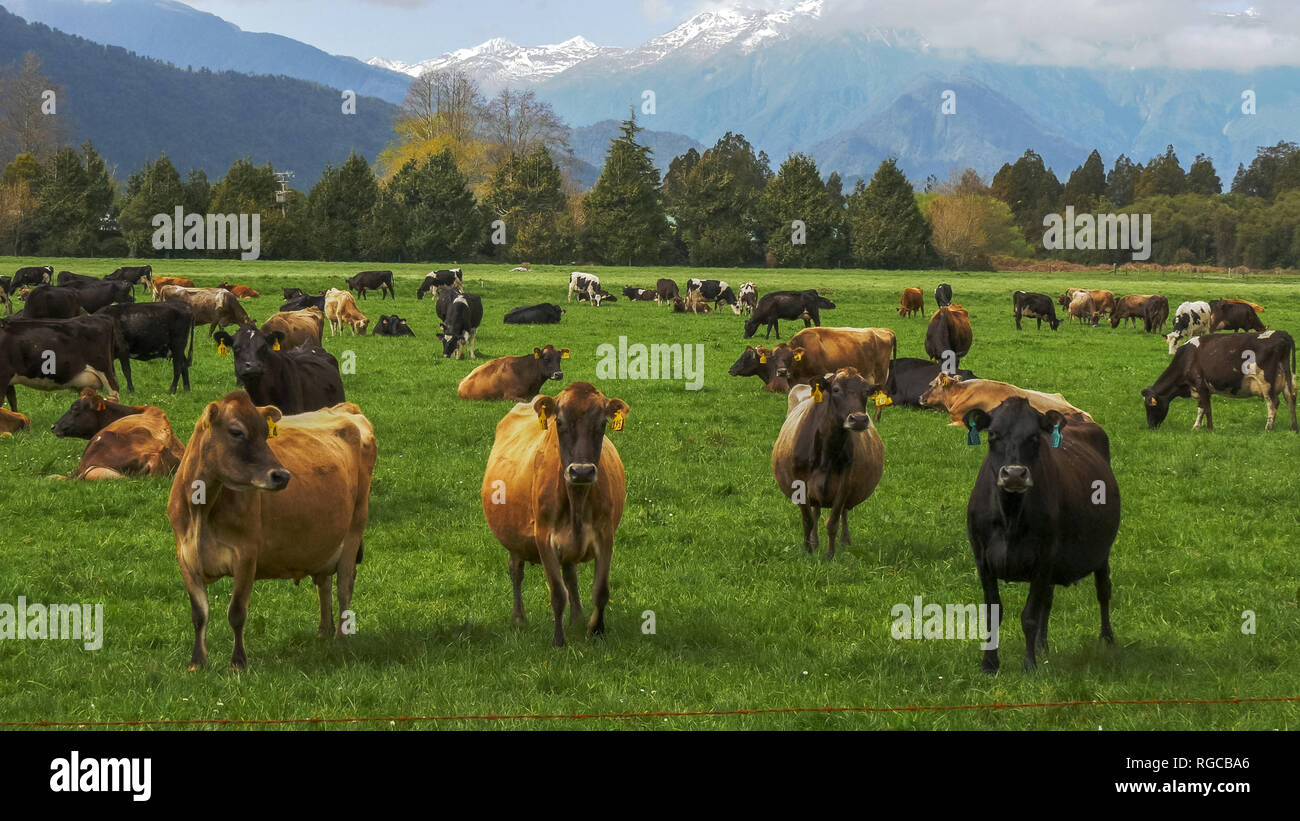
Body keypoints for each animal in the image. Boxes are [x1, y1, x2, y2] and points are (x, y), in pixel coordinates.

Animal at [169, 393, 376, 670]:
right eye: (236, 431)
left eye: (266, 433)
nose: (282, 476)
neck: (202, 509)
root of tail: (344, 408)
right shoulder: (185, 557)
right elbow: (199, 614)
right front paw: (197, 663)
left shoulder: (246, 555)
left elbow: (237, 612)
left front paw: (238, 663)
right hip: (323, 541)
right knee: (324, 583)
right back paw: (323, 631)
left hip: (354, 527)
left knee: (344, 585)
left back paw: (341, 637)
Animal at [481, 382, 628, 647]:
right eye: (559, 422)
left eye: (602, 423)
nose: (581, 471)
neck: (577, 499)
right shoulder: (543, 538)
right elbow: (558, 594)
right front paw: (559, 640)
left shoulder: (605, 536)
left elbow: (601, 590)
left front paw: (596, 630)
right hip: (514, 538)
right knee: (516, 571)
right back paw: (519, 618)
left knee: (570, 574)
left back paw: (577, 617)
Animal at [771, 368, 885, 560]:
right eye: (836, 389)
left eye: (866, 392)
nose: (859, 420)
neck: (827, 453)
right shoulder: (800, 486)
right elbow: (808, 520)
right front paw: (808, 550)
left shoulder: (844, 486)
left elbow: (833, 522)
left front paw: (829, 556)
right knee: (816, 512)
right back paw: (815, 542)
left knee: (843, 512)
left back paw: (845, 541)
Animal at [964, 397, 1121, 672]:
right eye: (992, 434)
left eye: (1035, 437)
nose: (1014, 474)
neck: (1010, 515)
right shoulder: (982, 559)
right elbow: (993, 612)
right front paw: (990, 664)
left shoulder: (1043, 558)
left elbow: (1029, 616)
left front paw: (1029, 665)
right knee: (1048, 600)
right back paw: (1042, 645)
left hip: (1102, 551)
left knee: (1103, 590)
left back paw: (1107, 639)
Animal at [1142, 331, 1296, 432]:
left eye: (1151, 406)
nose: (1150, 426)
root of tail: (1281, 333)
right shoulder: (1202, 389)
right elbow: (1201, 408)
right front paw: (1196, 427)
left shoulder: (1200, 384)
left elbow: (1207, 409)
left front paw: (1210, 429)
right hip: (1287, 379)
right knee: (1290, 399)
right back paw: (1293, 428)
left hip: (1266, 382)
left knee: (1273, 403)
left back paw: (1268, 428)